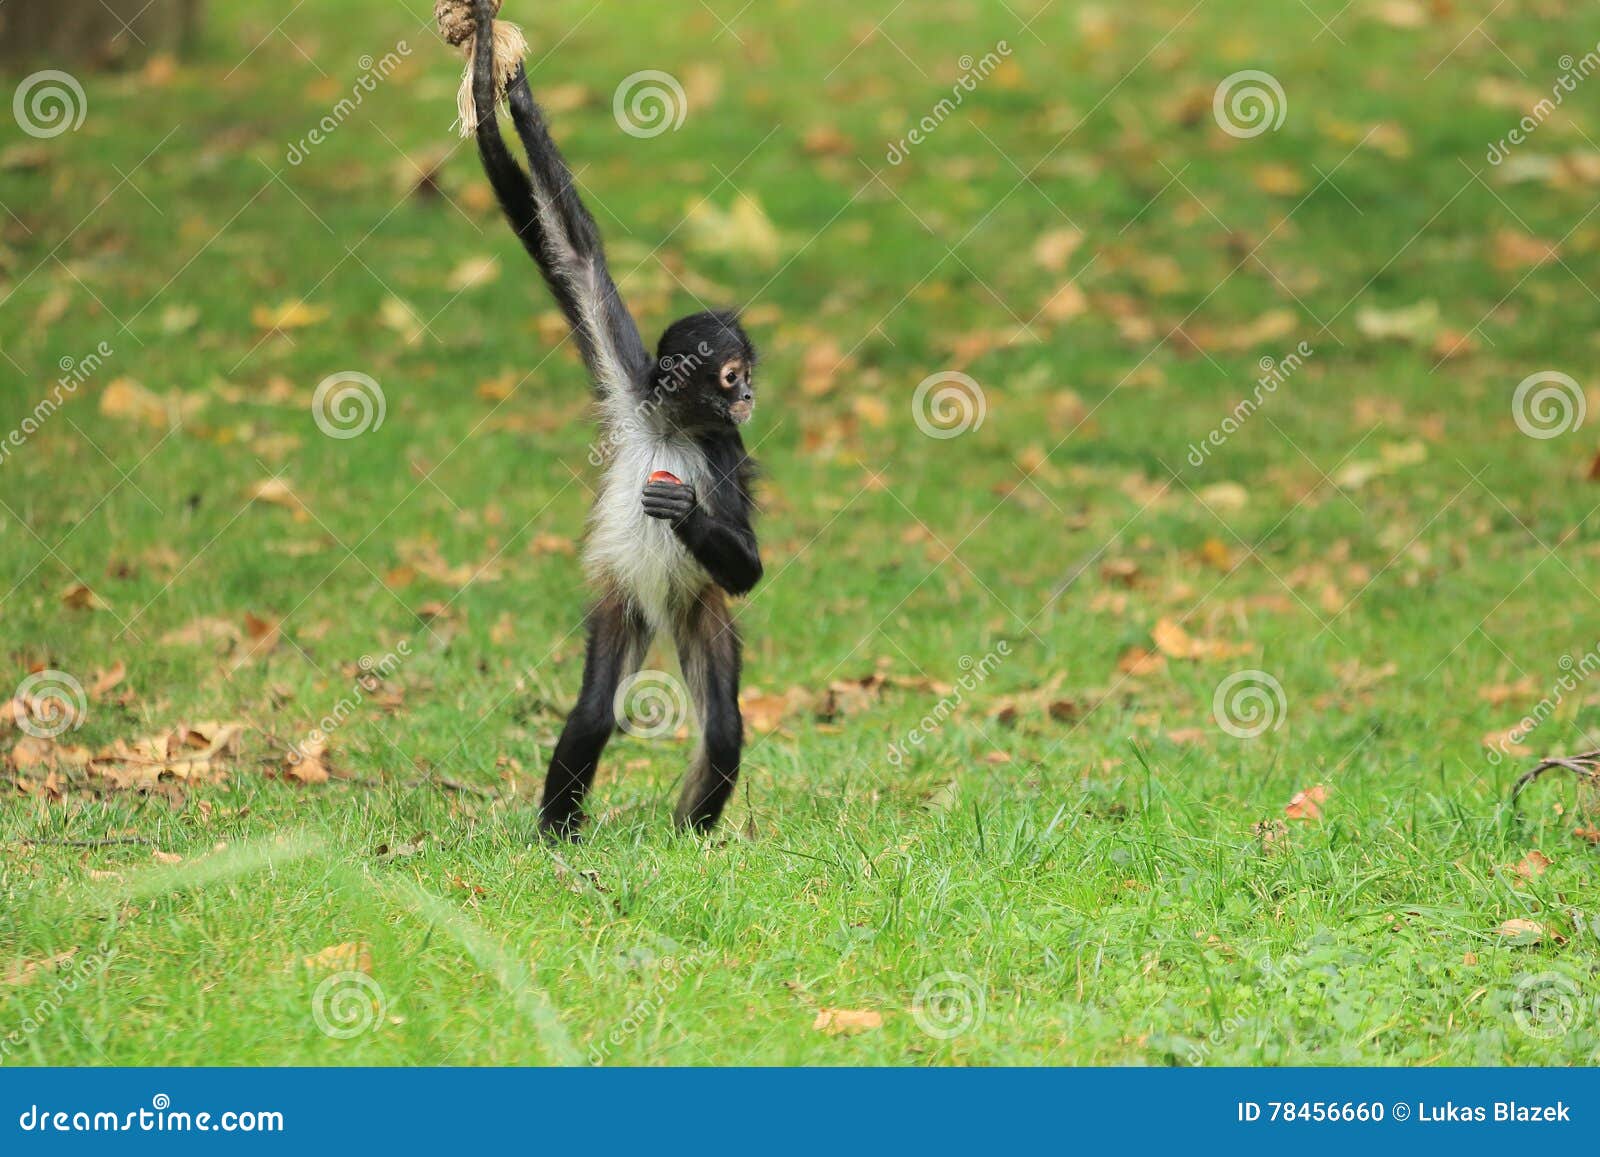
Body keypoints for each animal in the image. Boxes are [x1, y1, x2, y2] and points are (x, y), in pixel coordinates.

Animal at [465, 0, 763, 837]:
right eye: (732, 375)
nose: (752, 396)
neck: (675, 427)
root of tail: (663, 615)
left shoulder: (726, 450)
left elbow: (750, 568)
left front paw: (684, 510)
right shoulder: (629, 384)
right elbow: (568, 248)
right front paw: (510, 87)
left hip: (697, 607)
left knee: (723, 727)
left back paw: (691, 836)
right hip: (623, 601)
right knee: (595, 711)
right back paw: (555, 833)